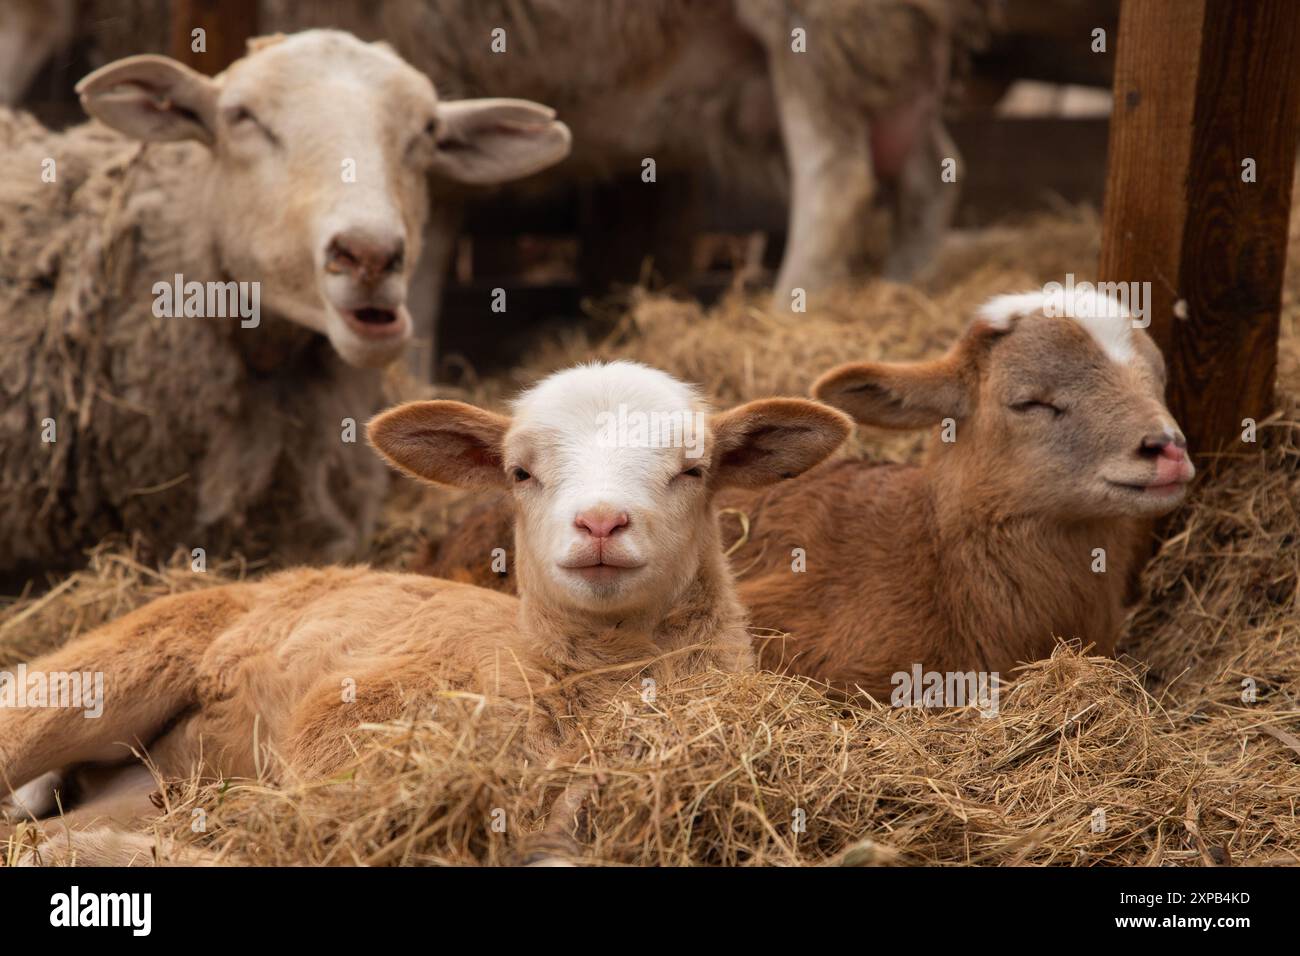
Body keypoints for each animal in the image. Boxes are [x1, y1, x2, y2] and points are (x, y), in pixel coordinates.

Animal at [0, 360, 851, 861]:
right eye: (519, 473)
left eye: (693, 469)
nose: (602, 523)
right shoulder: (354, 719)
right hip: (102, 674)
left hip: (150, 777)